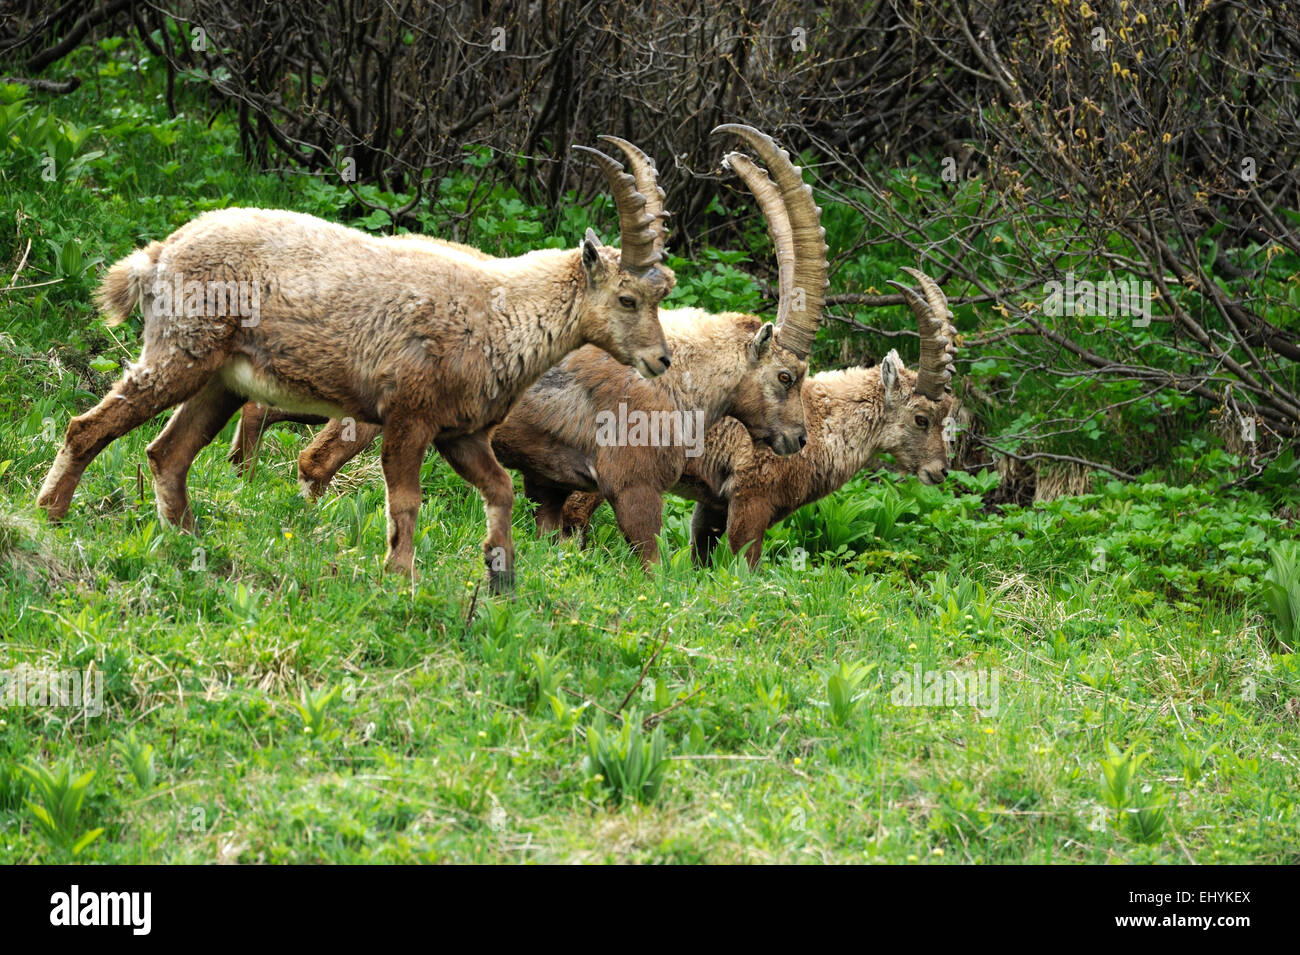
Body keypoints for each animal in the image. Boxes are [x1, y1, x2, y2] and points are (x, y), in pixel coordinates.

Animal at [36, 139, 675, 593]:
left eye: (661, 292)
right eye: (627, 298)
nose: (661, 360)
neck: (501, 310)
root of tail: (157, 255)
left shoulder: (462, 434)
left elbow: (500, 490)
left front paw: (502, 578)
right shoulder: (408, 417)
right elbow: (406, 500)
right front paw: (400, 578)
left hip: (220, 381)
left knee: (166, 453)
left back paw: (189, 544)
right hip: (180, 355)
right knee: (88, 427)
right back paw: (50, 516)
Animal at [560, 269, 959, 568]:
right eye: (921, 418)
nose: (940, 470)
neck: (822, 422)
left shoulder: (713, 503)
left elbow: (701, 555)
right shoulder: (752, 496)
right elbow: (744, 561)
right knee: (575, 510)